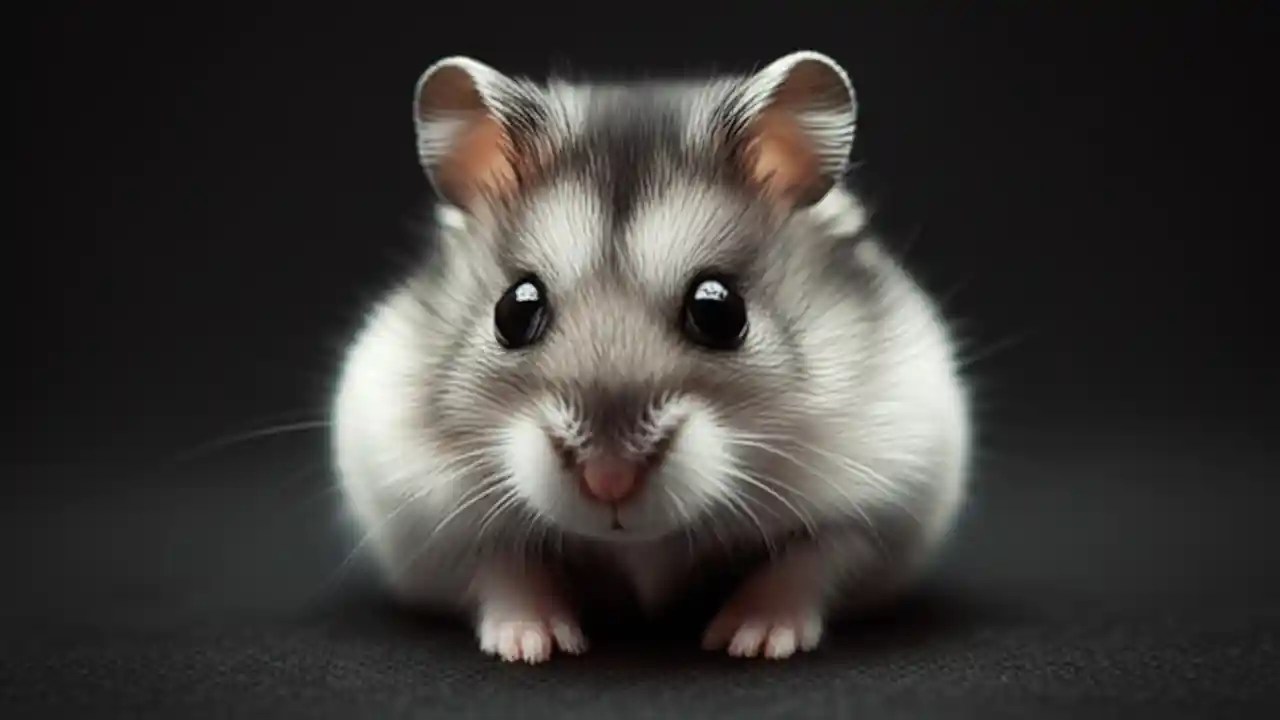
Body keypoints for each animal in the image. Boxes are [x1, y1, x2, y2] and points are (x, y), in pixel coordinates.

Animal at [331, 51, 971, 663]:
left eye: (720, 310)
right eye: (514, 310)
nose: (608, 479)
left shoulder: (881, 504)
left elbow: (810, 561)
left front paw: (752, 641)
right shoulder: (425, 520)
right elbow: (503, 568)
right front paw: (537, 645)